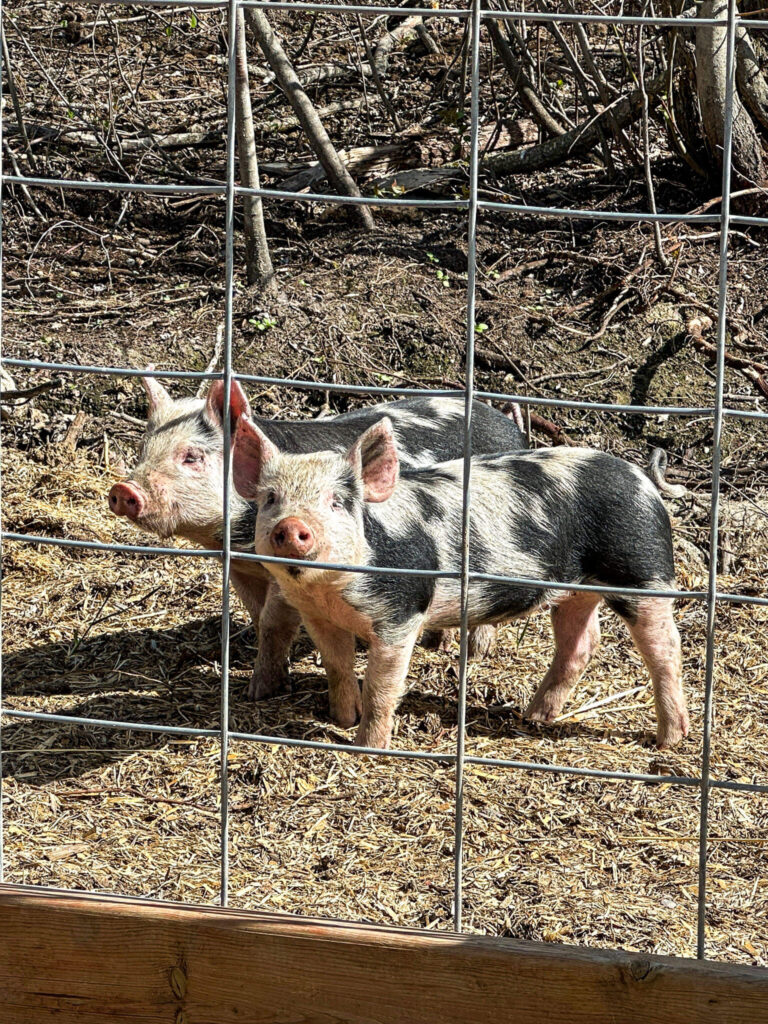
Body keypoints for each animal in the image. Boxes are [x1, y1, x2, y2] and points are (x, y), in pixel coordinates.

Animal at [108, 376, 526, 701]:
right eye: (144, 450)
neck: (233, 537)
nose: (123, 489)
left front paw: (258, 691)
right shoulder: (242, 569)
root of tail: (512, 427)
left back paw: (476, 652)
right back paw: (433, 642)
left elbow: (274, 621)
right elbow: (258, 618)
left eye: (191, 456)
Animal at [231, 415, 689, 750]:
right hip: (575, 591)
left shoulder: (402, 612)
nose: (291, 526)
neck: (330, 592)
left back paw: (668, 740)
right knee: (582, 643)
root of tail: (639, 477)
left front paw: (368, 745)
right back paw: (534, 717)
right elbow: (339, 667)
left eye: (337, 503)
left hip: (643, 572)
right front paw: (342, 719)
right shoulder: (318, 615)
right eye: (270, 498)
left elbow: (382, 685)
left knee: (666, 649)